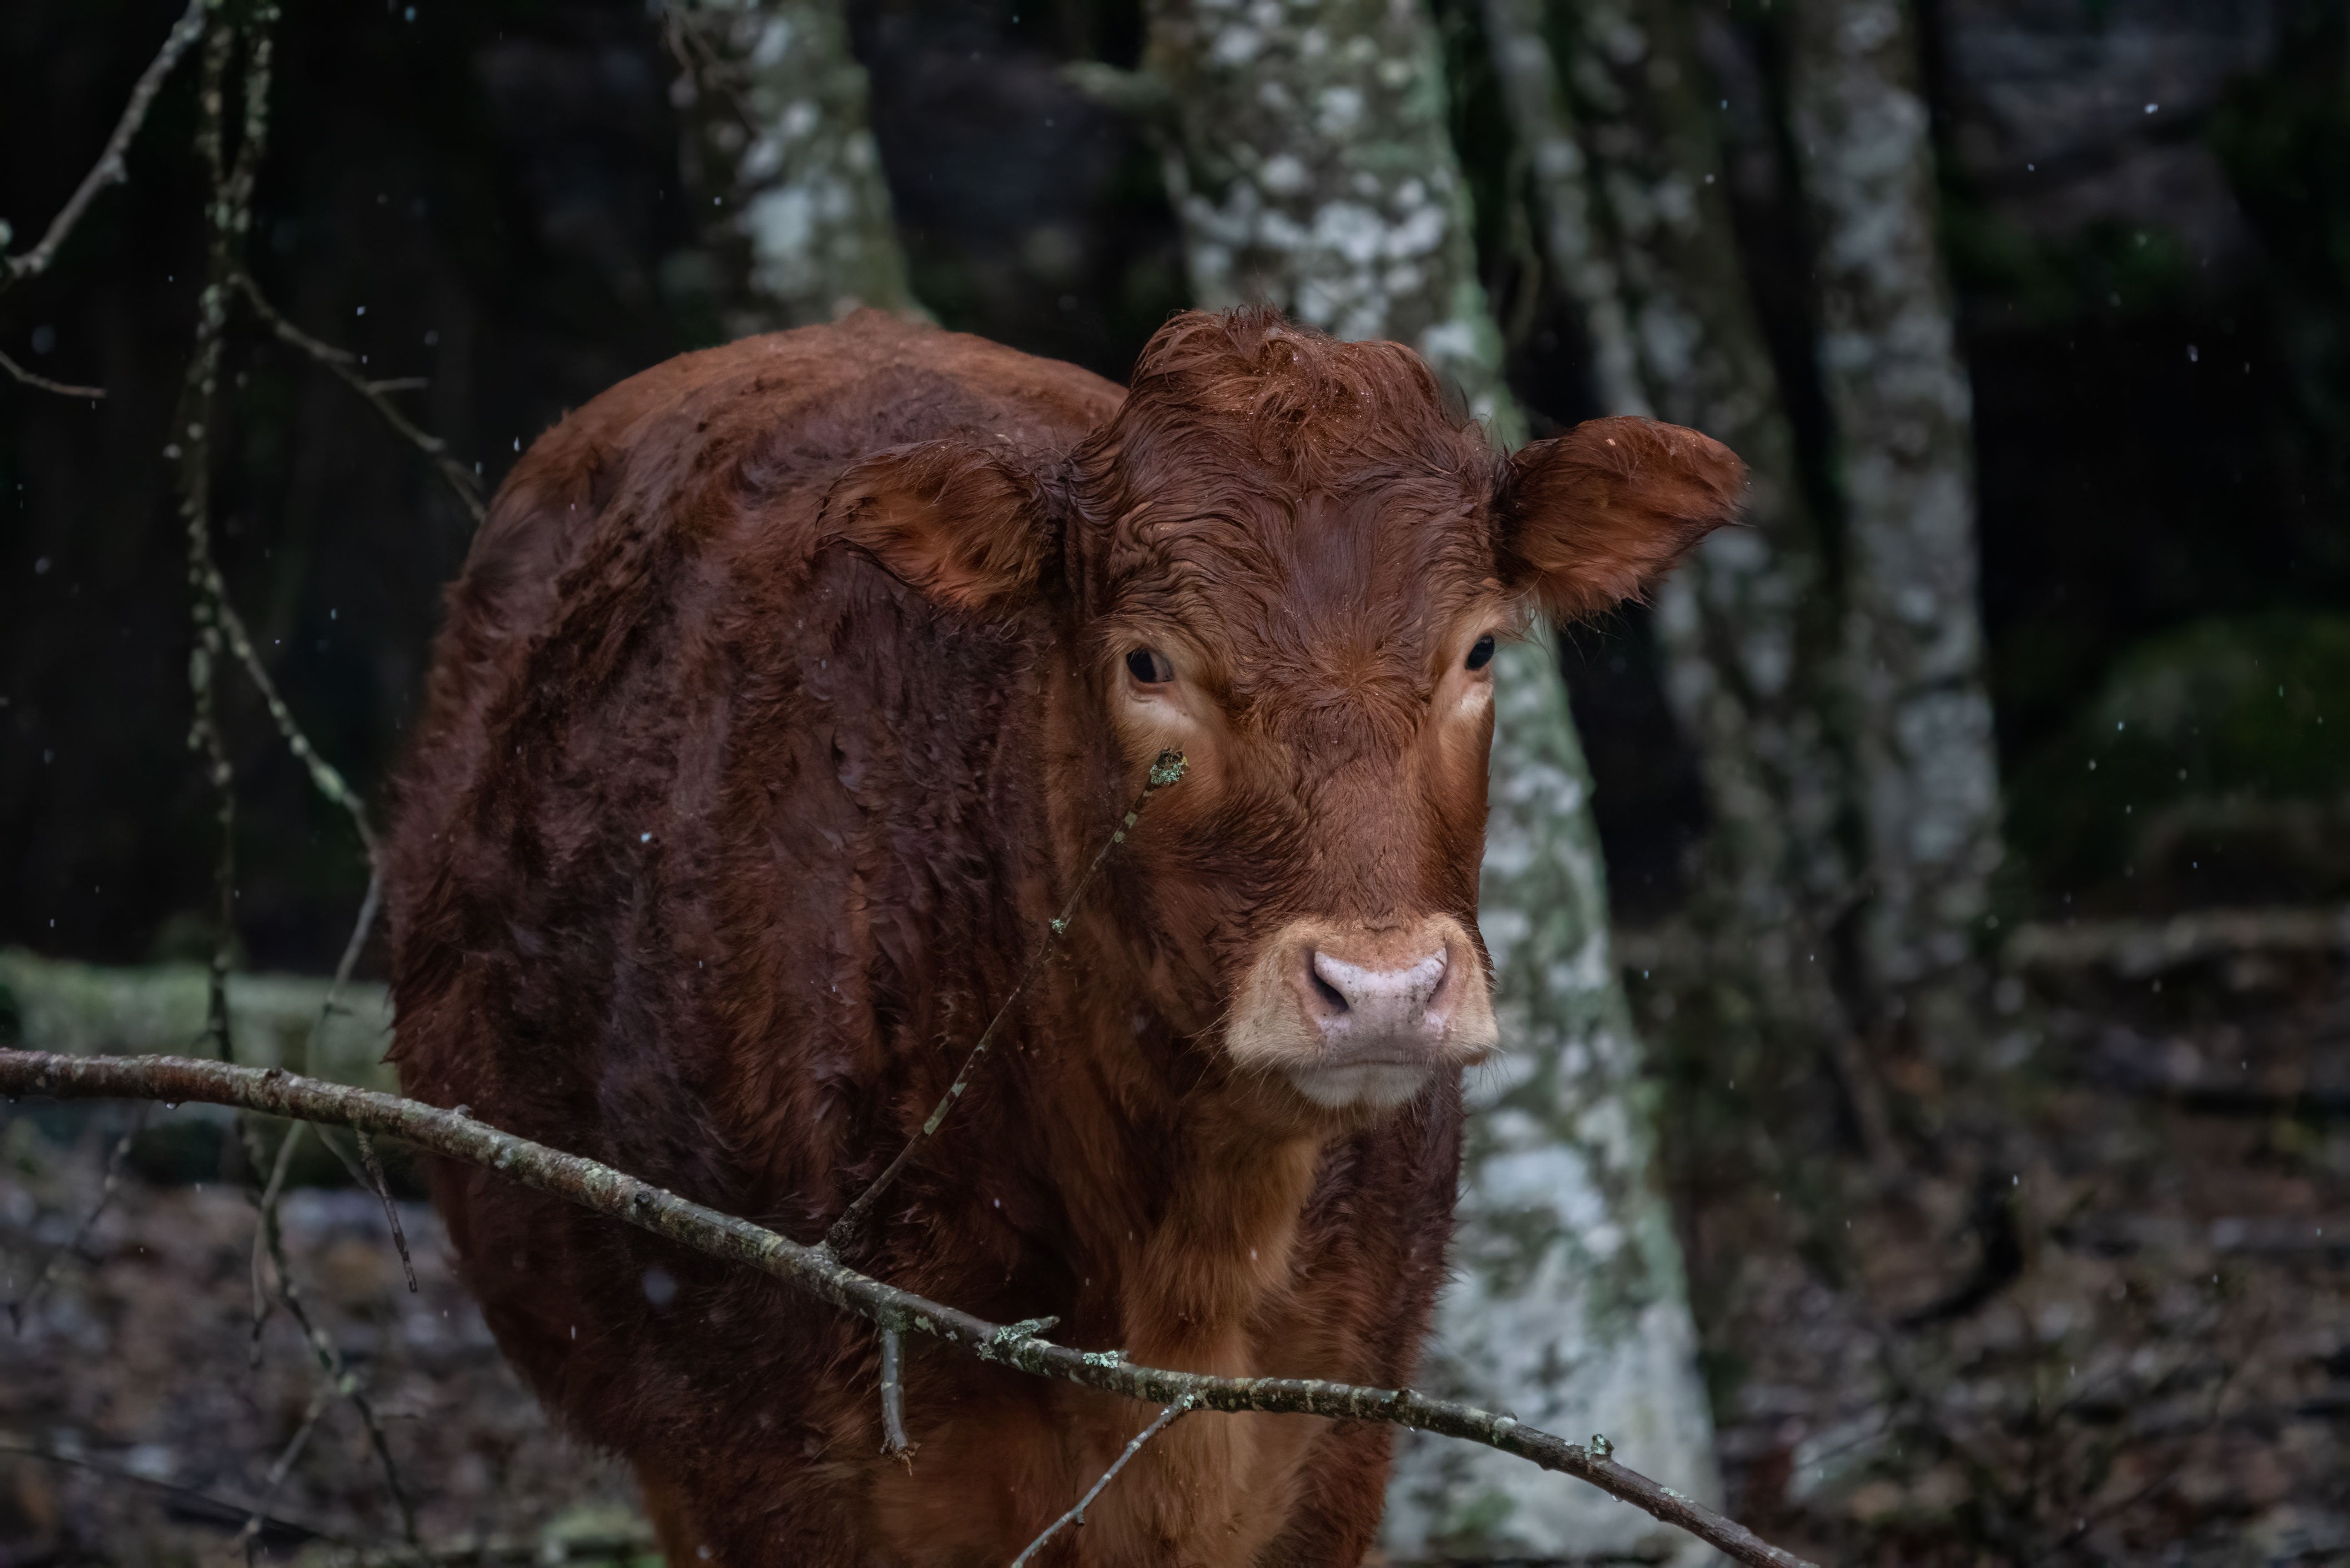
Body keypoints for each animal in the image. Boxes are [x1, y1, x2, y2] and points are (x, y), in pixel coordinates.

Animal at [384, 307, 1741, 1567]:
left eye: (1478, 646)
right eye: (1148, 661)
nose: (1383, 987)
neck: (1188, 1265)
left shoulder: (1339, 1439)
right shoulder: (763, 1466)